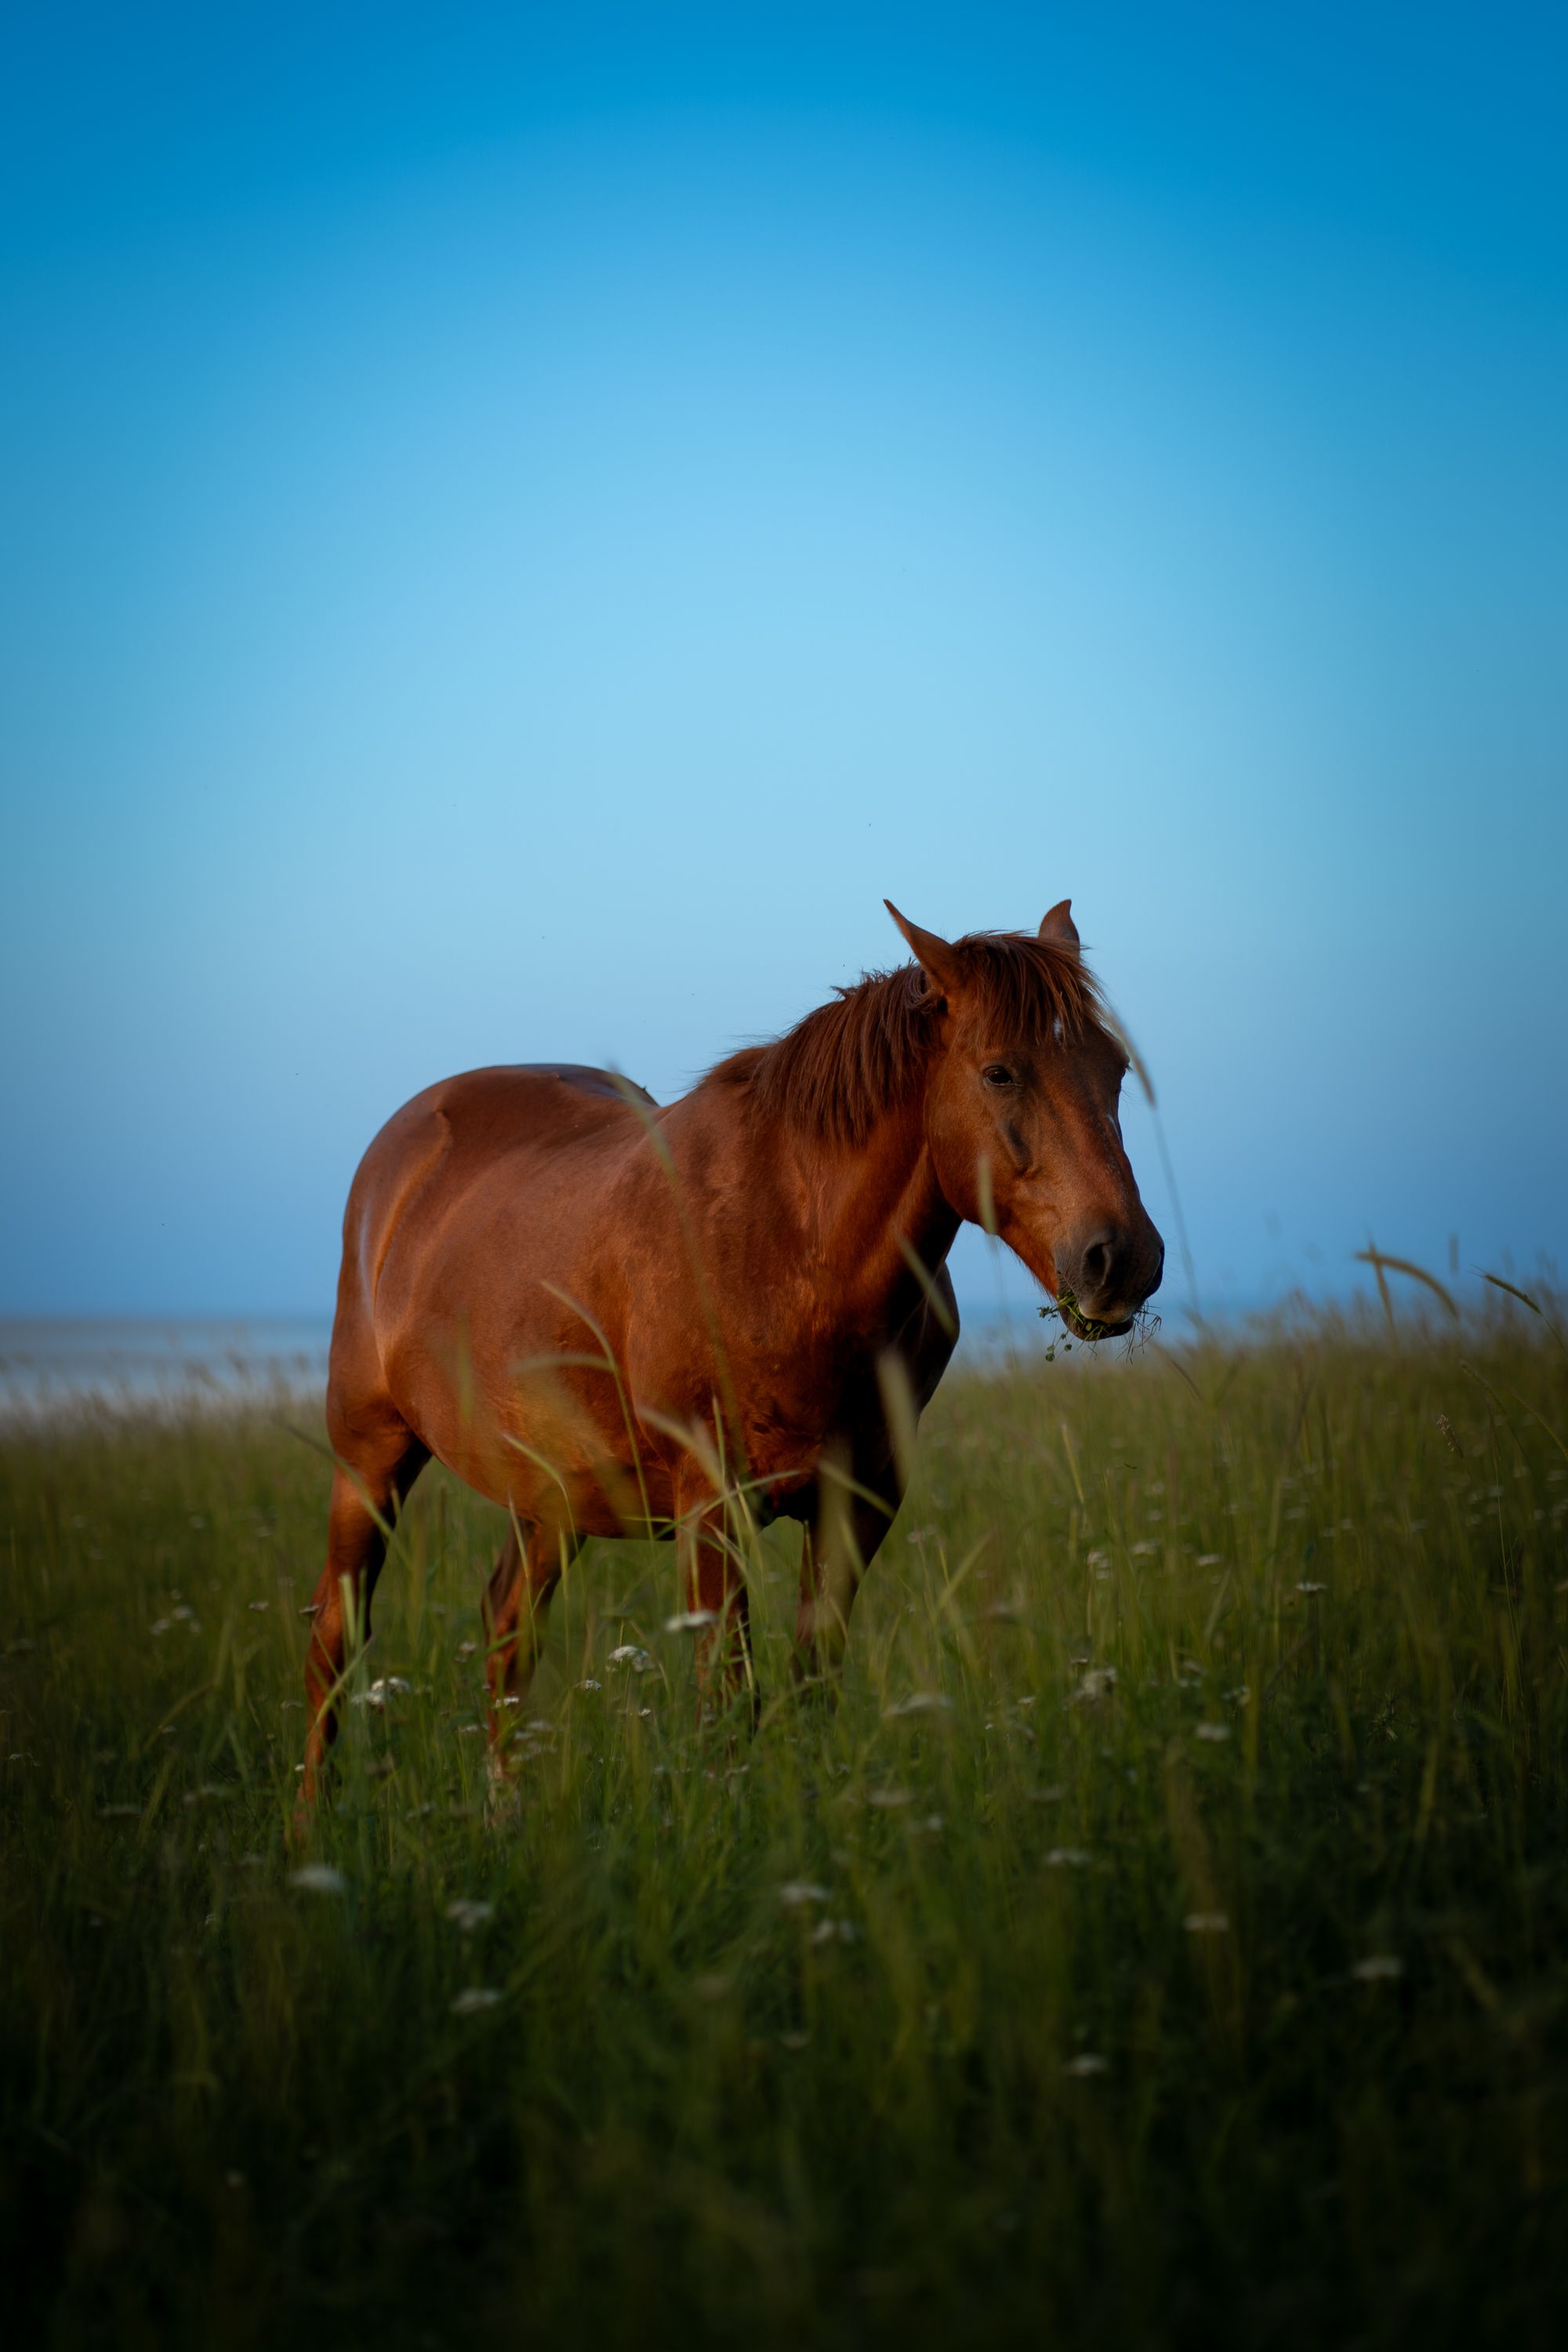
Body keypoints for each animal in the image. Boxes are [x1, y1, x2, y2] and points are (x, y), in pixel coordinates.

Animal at [296, 900, 1163, 1813]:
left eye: (1113, 1069)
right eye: (1000, 1073)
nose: (1122, 1261)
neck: (790, 1245)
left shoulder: (860, 1503)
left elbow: (811, 1686)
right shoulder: (712, 1507)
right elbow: (726, 1700)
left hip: (550, 1497)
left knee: (507, 1631)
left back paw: (504, 1814)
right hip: (370, 1460)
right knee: (334, 1640)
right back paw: (311, 1826)